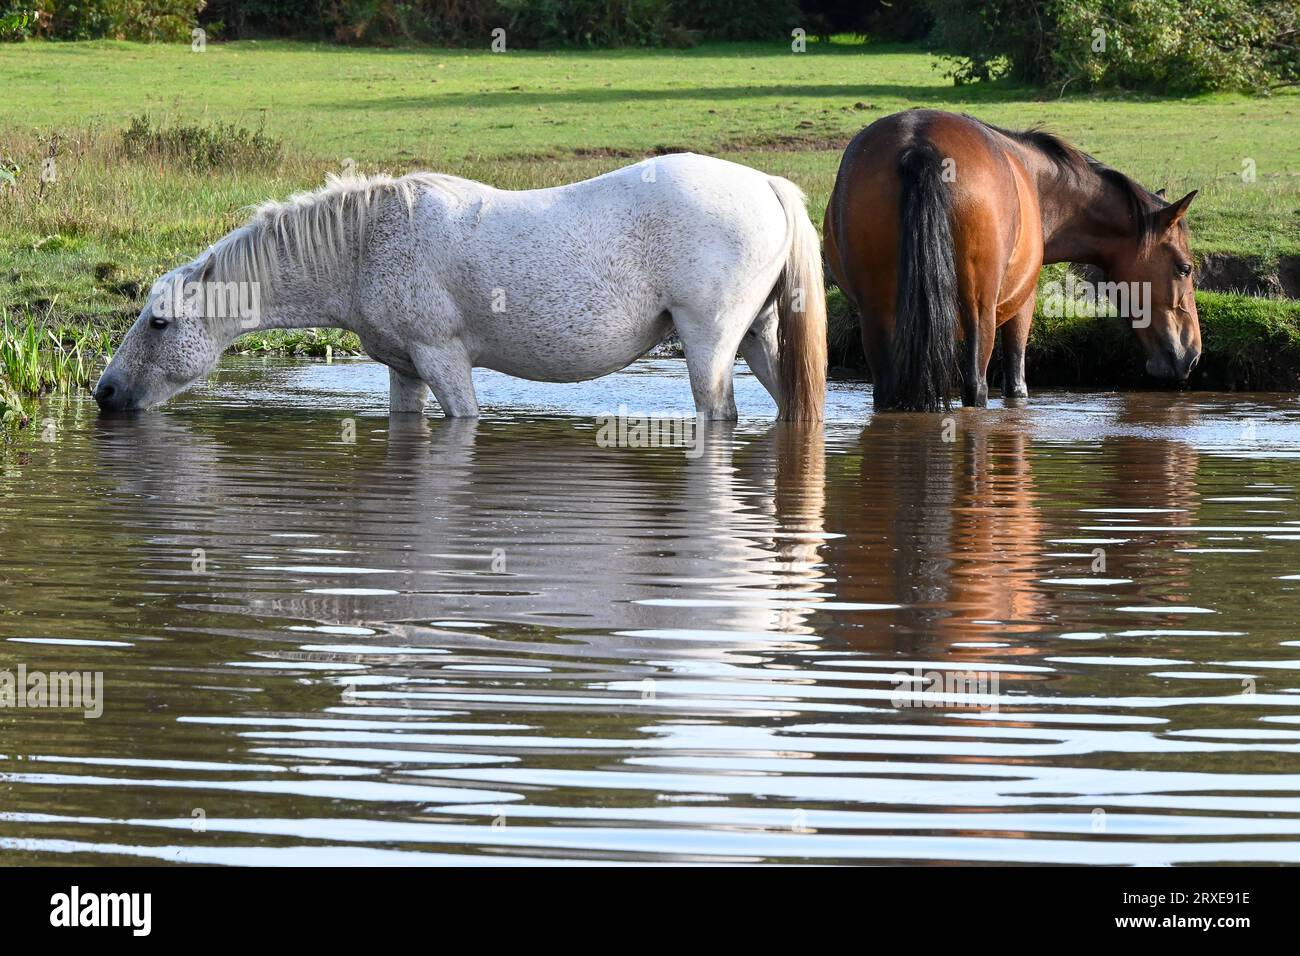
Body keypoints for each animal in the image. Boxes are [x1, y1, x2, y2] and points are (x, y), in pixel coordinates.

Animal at [94, 153, 827, 421]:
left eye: (158, 323)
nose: (103, 393)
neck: (366, 243)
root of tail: (768, 185)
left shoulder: (443, 359)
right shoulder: (404, 371)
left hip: (710, 346)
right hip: (760, 340)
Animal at [823, 109, 1201, 411]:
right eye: (1184, 268)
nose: (1192, 353)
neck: (1037, 183)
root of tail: (919, 146)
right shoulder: (1022, 305)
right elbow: (1016, 383)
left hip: (876, 314)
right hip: (980, 314)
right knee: (975, 387)